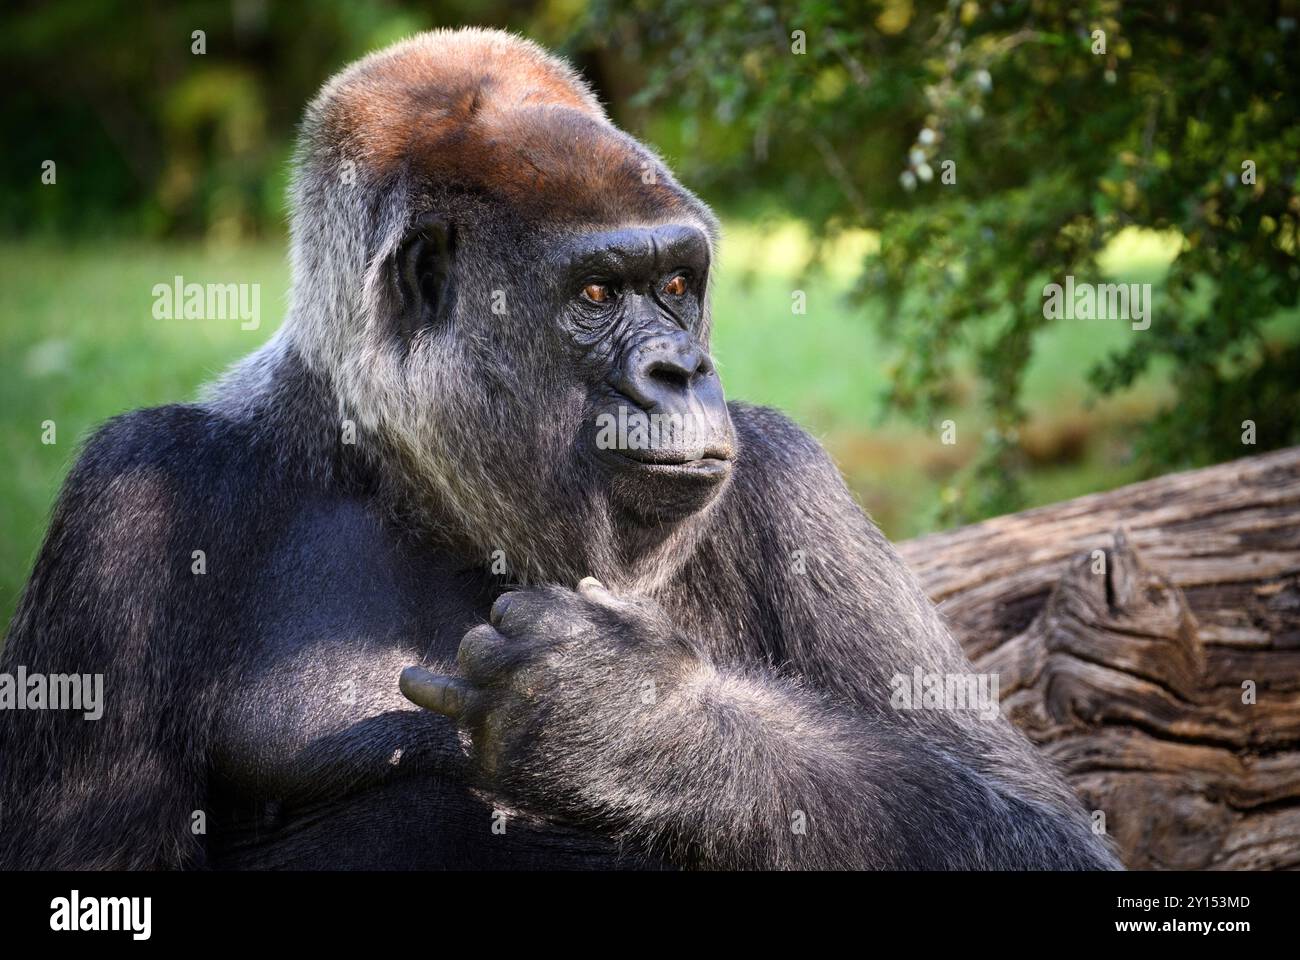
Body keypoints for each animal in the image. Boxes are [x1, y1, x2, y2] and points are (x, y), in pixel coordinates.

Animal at [0, 28, 1120, 870]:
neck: (400, 476)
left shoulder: (792, 475)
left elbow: (1040, 829)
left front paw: (631, 724)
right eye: (594, 294)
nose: (680, 370)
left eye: (677, 284)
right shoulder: (131, 496)